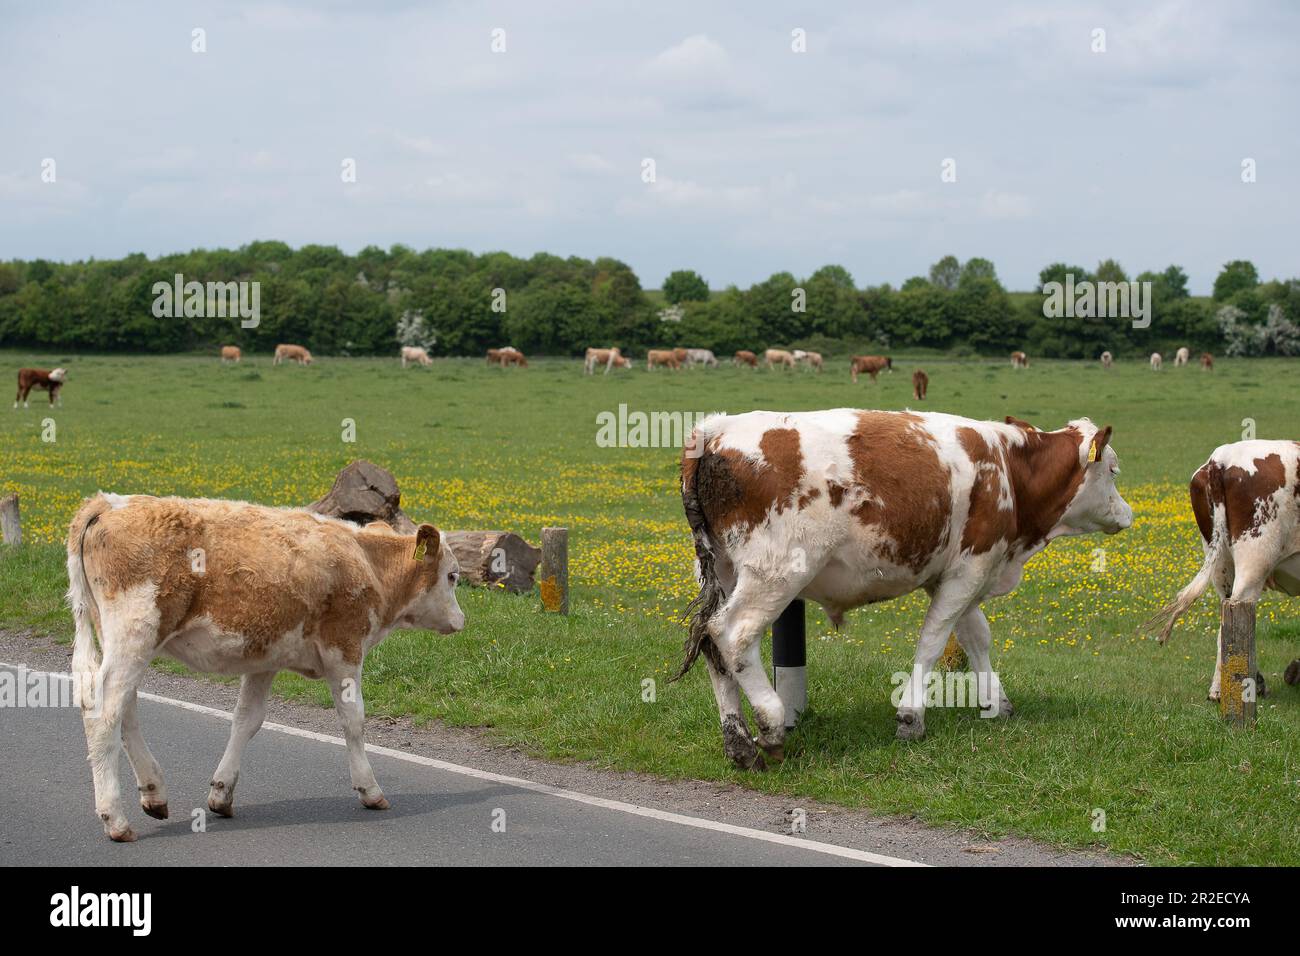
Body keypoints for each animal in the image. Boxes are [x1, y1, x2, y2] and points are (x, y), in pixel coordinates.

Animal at [66, 493, 465, 842]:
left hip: (122, 640)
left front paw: (222, 793)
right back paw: (115, 819)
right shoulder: (345, 649)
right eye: (453, 576)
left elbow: (247, 720)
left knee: (126, 708)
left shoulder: (265, 658)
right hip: (135, 632)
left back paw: (153, 793)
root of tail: (107, 502)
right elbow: (353, 720)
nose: (461, 620)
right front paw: (370, 789)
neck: (366, 560)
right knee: (105, 712)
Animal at [675, 410, 1132, 766]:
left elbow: (975, 638)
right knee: (732, 634)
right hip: (775, 574)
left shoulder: (957, 572)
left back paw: (738, 744)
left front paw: (996, 702)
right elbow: (932, 642)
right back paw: (770, 724)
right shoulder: (970, 569)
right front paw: (912, 716)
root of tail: (716, 430)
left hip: (723, 572)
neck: (1009, 468)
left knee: (711, 645)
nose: (1127, 514)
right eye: (1113, 469)